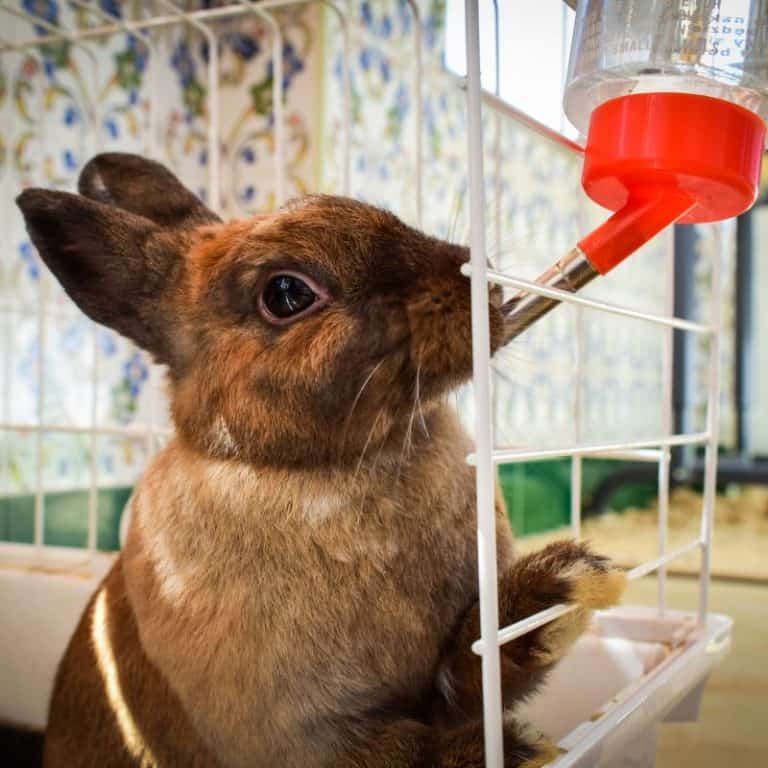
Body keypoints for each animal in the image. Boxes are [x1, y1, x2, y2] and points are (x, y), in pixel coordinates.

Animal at [16, 153, 626, 768]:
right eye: (286, 294)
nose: (482, 282)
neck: (319, 466)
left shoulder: (444, 685)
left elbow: (475, 662)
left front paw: (567, 586)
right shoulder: (307, 737)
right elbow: (406, 751)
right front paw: (511, 751)